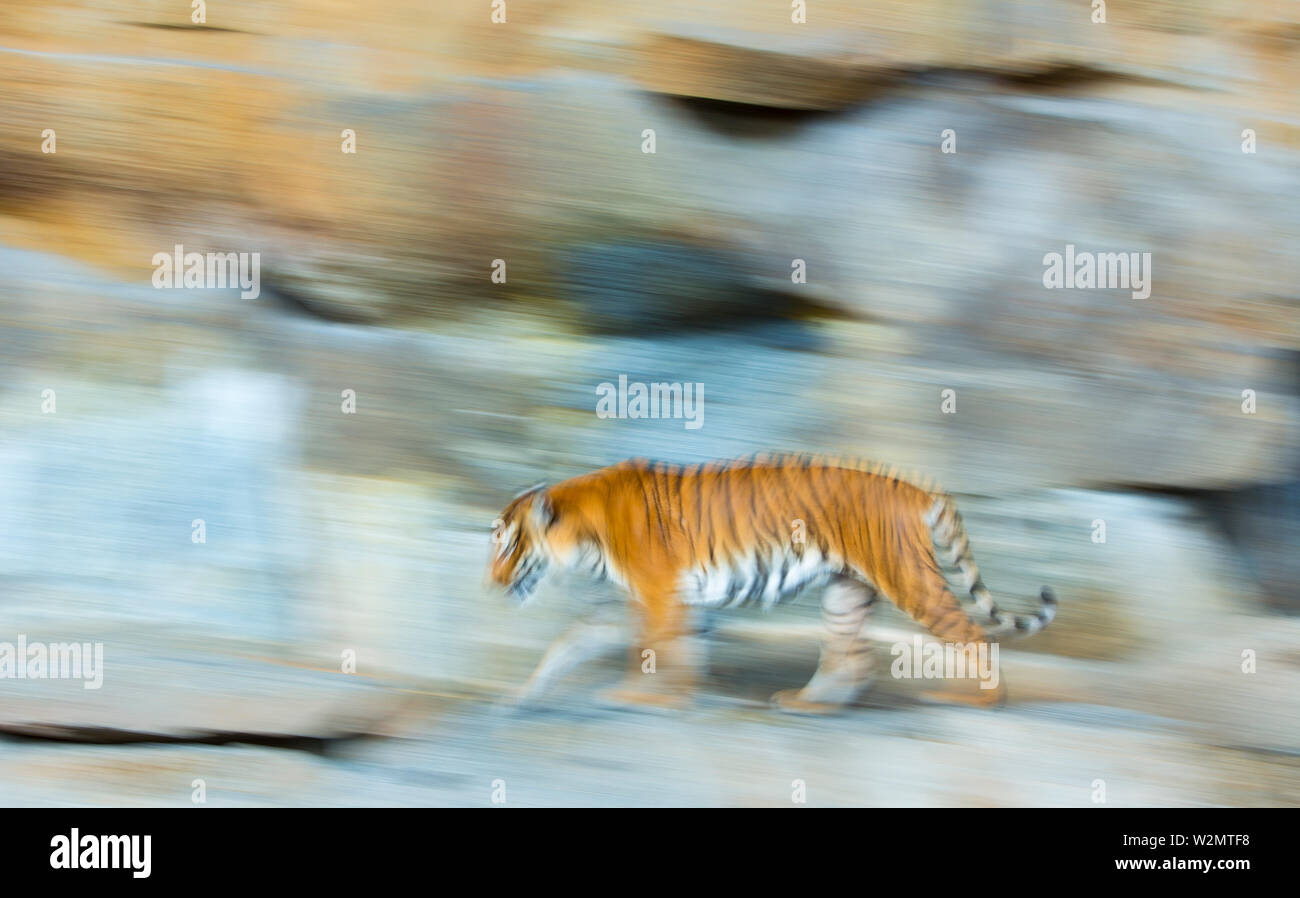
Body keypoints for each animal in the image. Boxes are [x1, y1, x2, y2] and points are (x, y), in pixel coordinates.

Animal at [488, 452, 1056, 714]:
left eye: (510, 546)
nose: (492, 584)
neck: (587, 538)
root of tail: (916, 488)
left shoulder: (656, 595)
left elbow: (654, 649)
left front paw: (643, 697)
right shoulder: (650, 601)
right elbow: (574, 641)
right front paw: (523, 694)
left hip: (909, 580)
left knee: (973, 635)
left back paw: (982, 701)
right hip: (844, 592)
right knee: (851, 661)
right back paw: (808, 704)